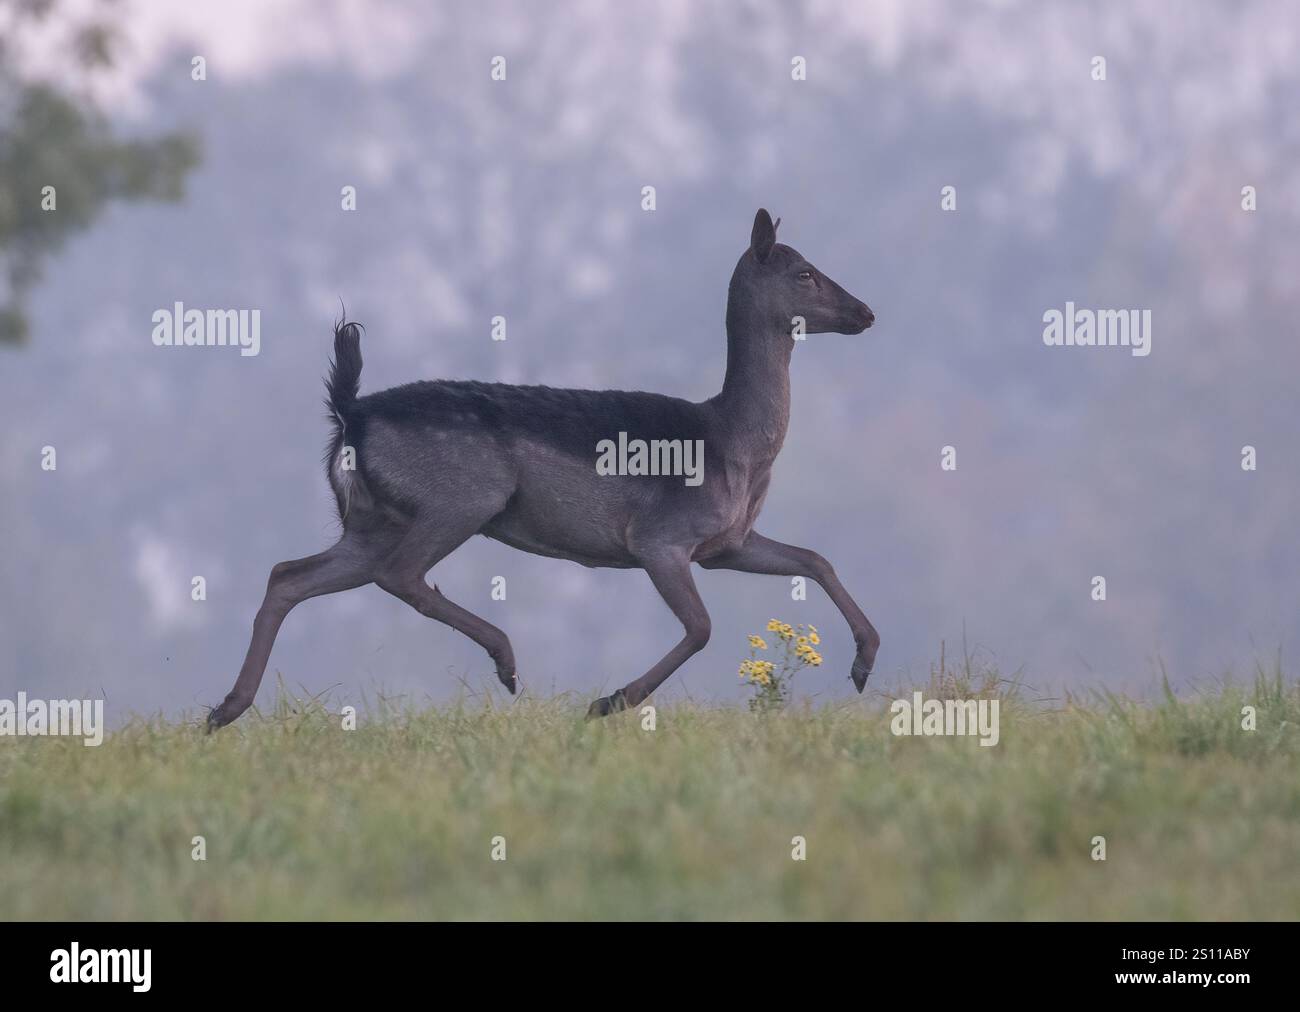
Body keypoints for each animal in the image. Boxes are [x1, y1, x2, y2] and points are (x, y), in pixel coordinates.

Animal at [206, 209, 879, 730]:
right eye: (804, 272)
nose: (866, 312)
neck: (732, 446)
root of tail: (348, 414)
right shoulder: (660, 537)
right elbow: (703, 627)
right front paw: (609, 701)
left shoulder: (726, 543)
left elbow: (815, 558)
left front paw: (864, 663)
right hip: (462, 497)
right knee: (399, 574)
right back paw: (507, 662)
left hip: (370, 521)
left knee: (289, 574)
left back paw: (223, 711)